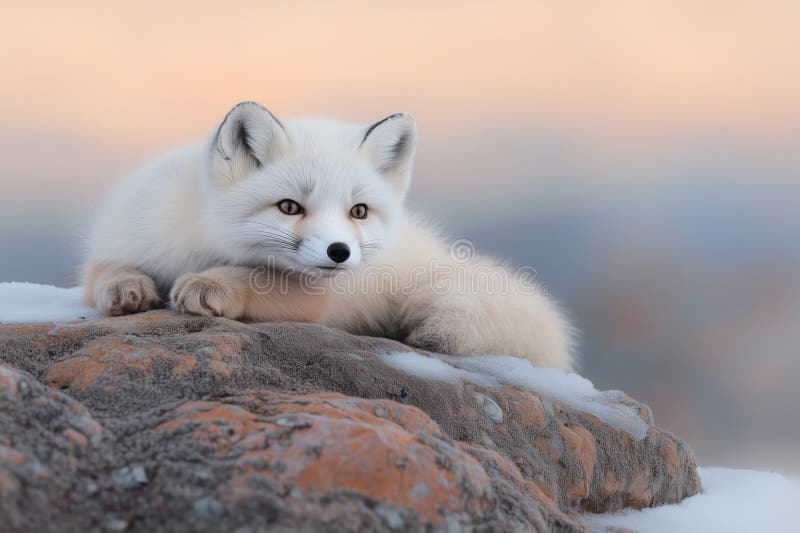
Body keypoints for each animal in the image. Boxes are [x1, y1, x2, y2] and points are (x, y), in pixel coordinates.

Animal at [82, 101, 576, 370]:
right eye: (289, 207)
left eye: (358, 211)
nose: (340, 252)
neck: (206, 242)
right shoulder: (127, 232)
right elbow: (105, 272)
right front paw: (127, 288)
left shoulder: (316, 298)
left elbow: (252, 277)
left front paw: (211, 284)